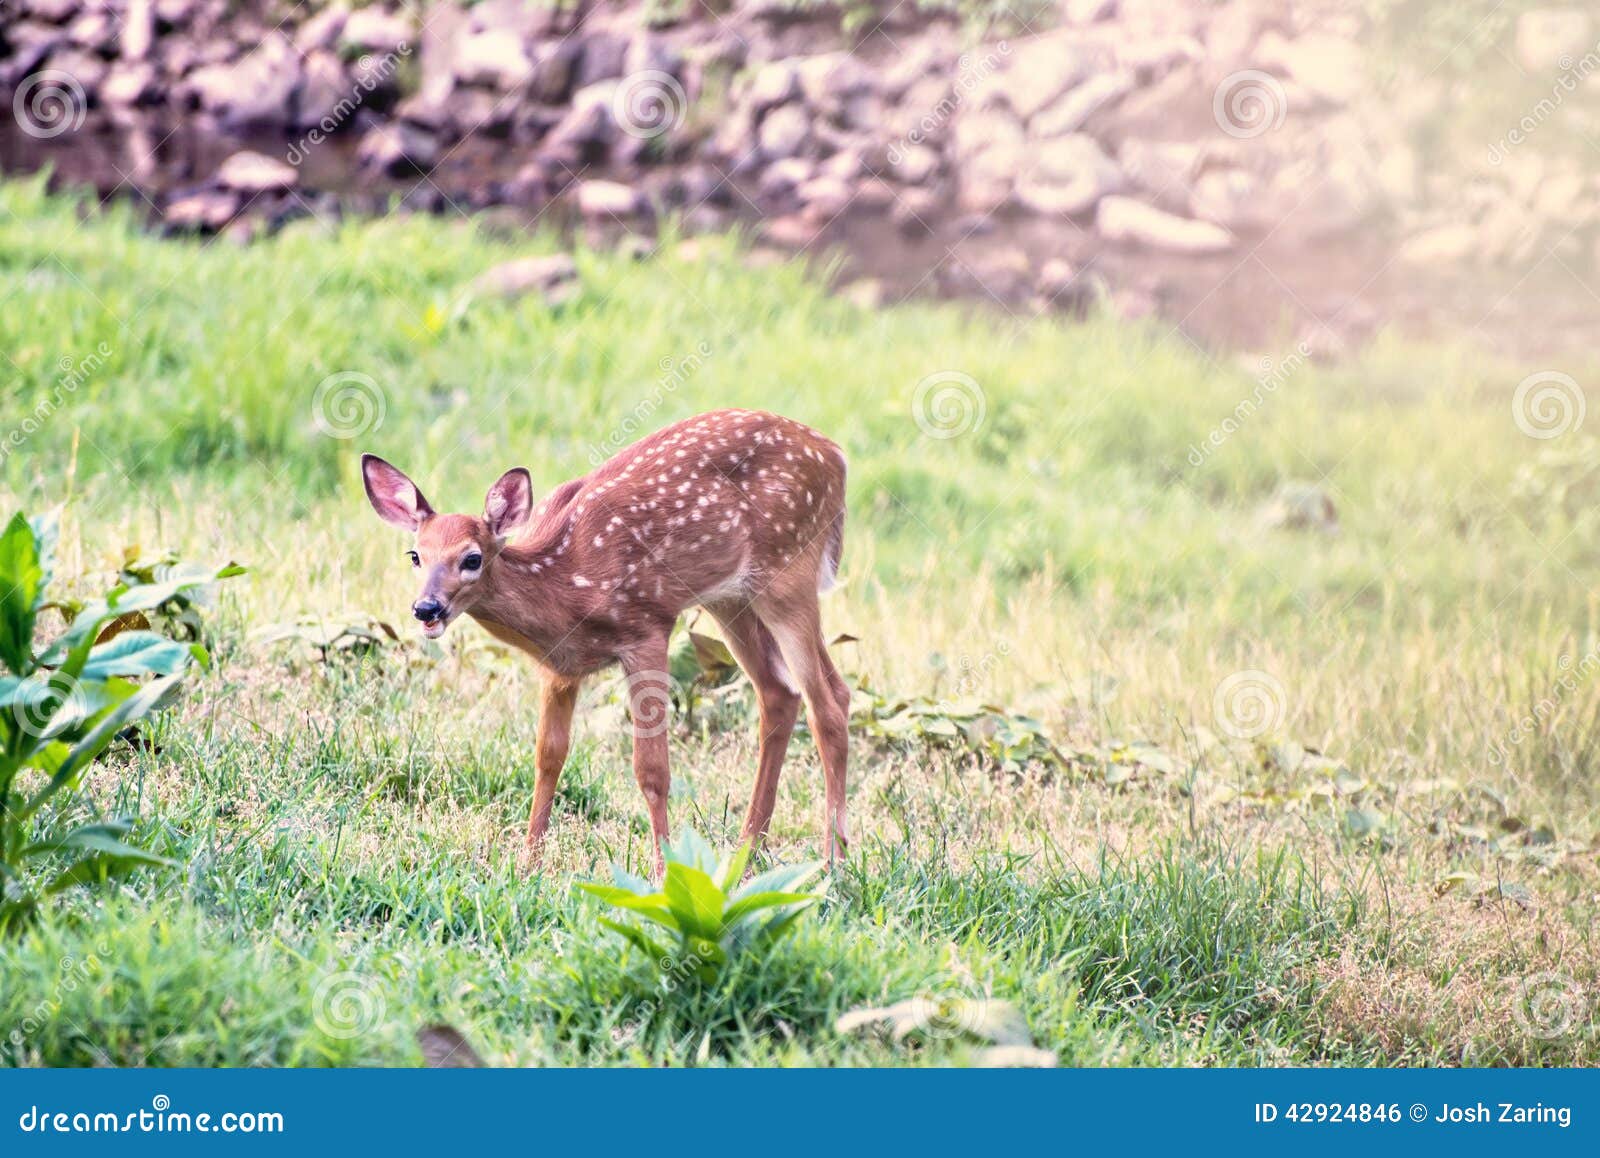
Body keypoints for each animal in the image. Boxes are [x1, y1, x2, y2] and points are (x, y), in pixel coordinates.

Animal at [360, 408, 851, 874]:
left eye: (472, 558)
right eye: (415, 555)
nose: (427, 609)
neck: (564, 586)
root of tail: (837, 457)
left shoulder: (647, 628)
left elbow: (652, 770)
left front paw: (663, 872)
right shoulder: (559, 666)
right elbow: (548, 758)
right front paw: (527, 863)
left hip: (788, 574)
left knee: (827, 703)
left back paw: (834, 863)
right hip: (731, 599)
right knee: (783, 692)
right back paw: (749, 853)